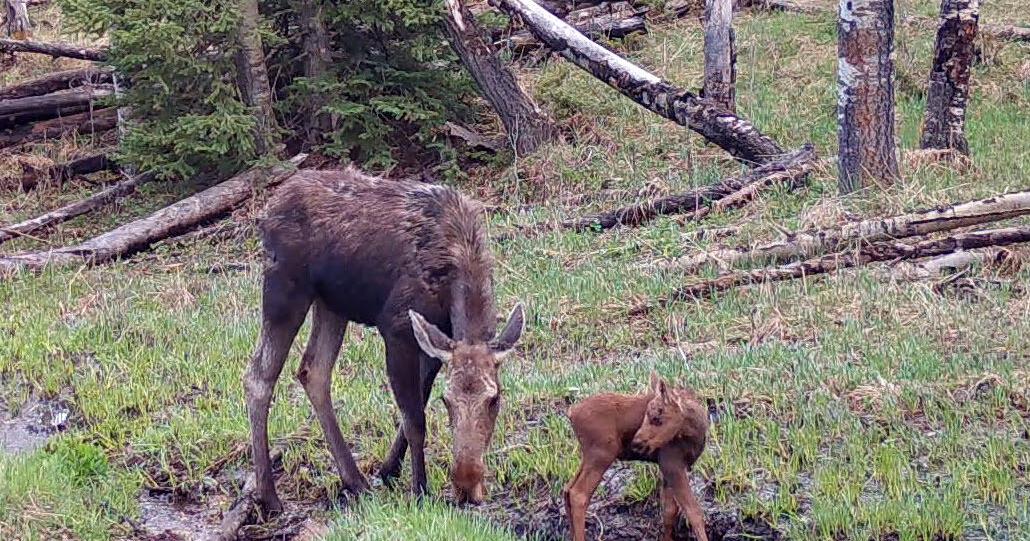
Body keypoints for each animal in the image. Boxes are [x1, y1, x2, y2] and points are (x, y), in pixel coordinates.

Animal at [244, 166, 525, 513]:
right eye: (448, 401)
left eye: (494, 399)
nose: (465, 484)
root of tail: (266, 213)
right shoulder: (396, 327)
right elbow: (415, 418)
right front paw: (420, 490)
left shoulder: (432, 344)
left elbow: (417, 402)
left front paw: (389, 469)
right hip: (285, 288)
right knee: (259, 376)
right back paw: (269, 494)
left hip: (332, 303)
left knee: (314, 371)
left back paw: (354, 480)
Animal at [564, 372, 709, 541]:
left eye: (656, 418)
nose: (635, 443)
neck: (696, 431)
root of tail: (571, 413)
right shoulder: (671, 463)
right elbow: (693, 512)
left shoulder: (667, 469)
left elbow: (669, 512)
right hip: (602, 453)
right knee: (579, 494)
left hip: (588, 455)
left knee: (567, 488)